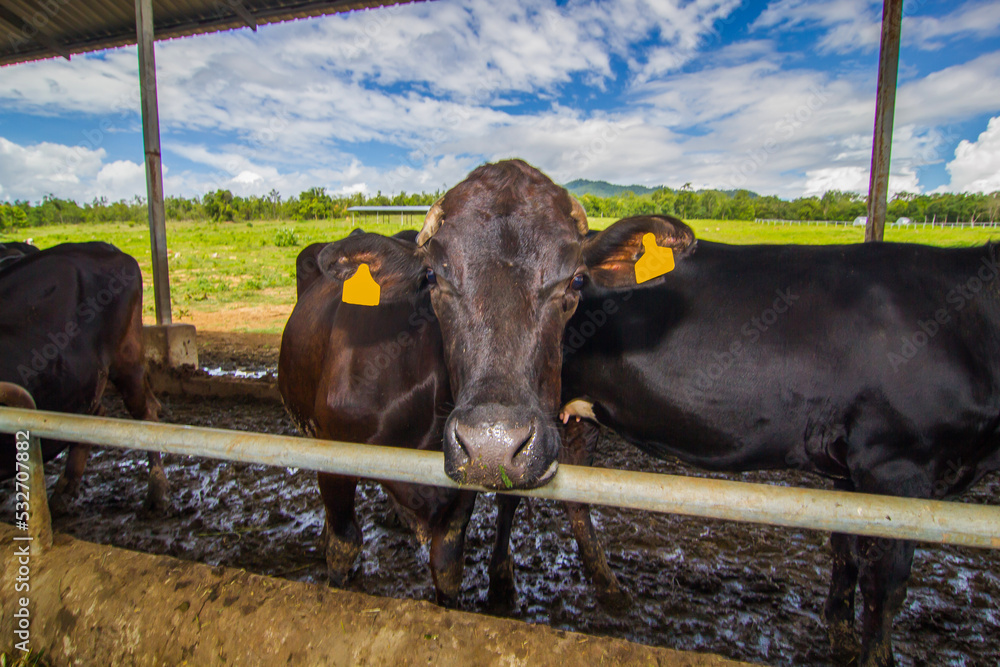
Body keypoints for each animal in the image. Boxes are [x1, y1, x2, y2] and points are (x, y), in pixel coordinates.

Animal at [0, 242, 168, 511]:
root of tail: (103, 247)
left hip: (127, 359)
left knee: (145, 413)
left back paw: (156, 491)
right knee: (91, 418)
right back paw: (63, 492)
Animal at [279, 229, 622, 606]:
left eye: (577, 281)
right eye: (431, 276)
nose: (494, 442)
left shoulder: (463, 477)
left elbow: (447, 563)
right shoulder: (333, 454)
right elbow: (344, 544)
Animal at [331, 159, 1000, 666]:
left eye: (576, 281)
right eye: (433, 277)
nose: (493, 440)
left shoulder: (858, 472)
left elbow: (845, 550)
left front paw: (835, 632)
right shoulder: (896, 462)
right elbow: (886, 588)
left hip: (556, 421)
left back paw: (592, 584)